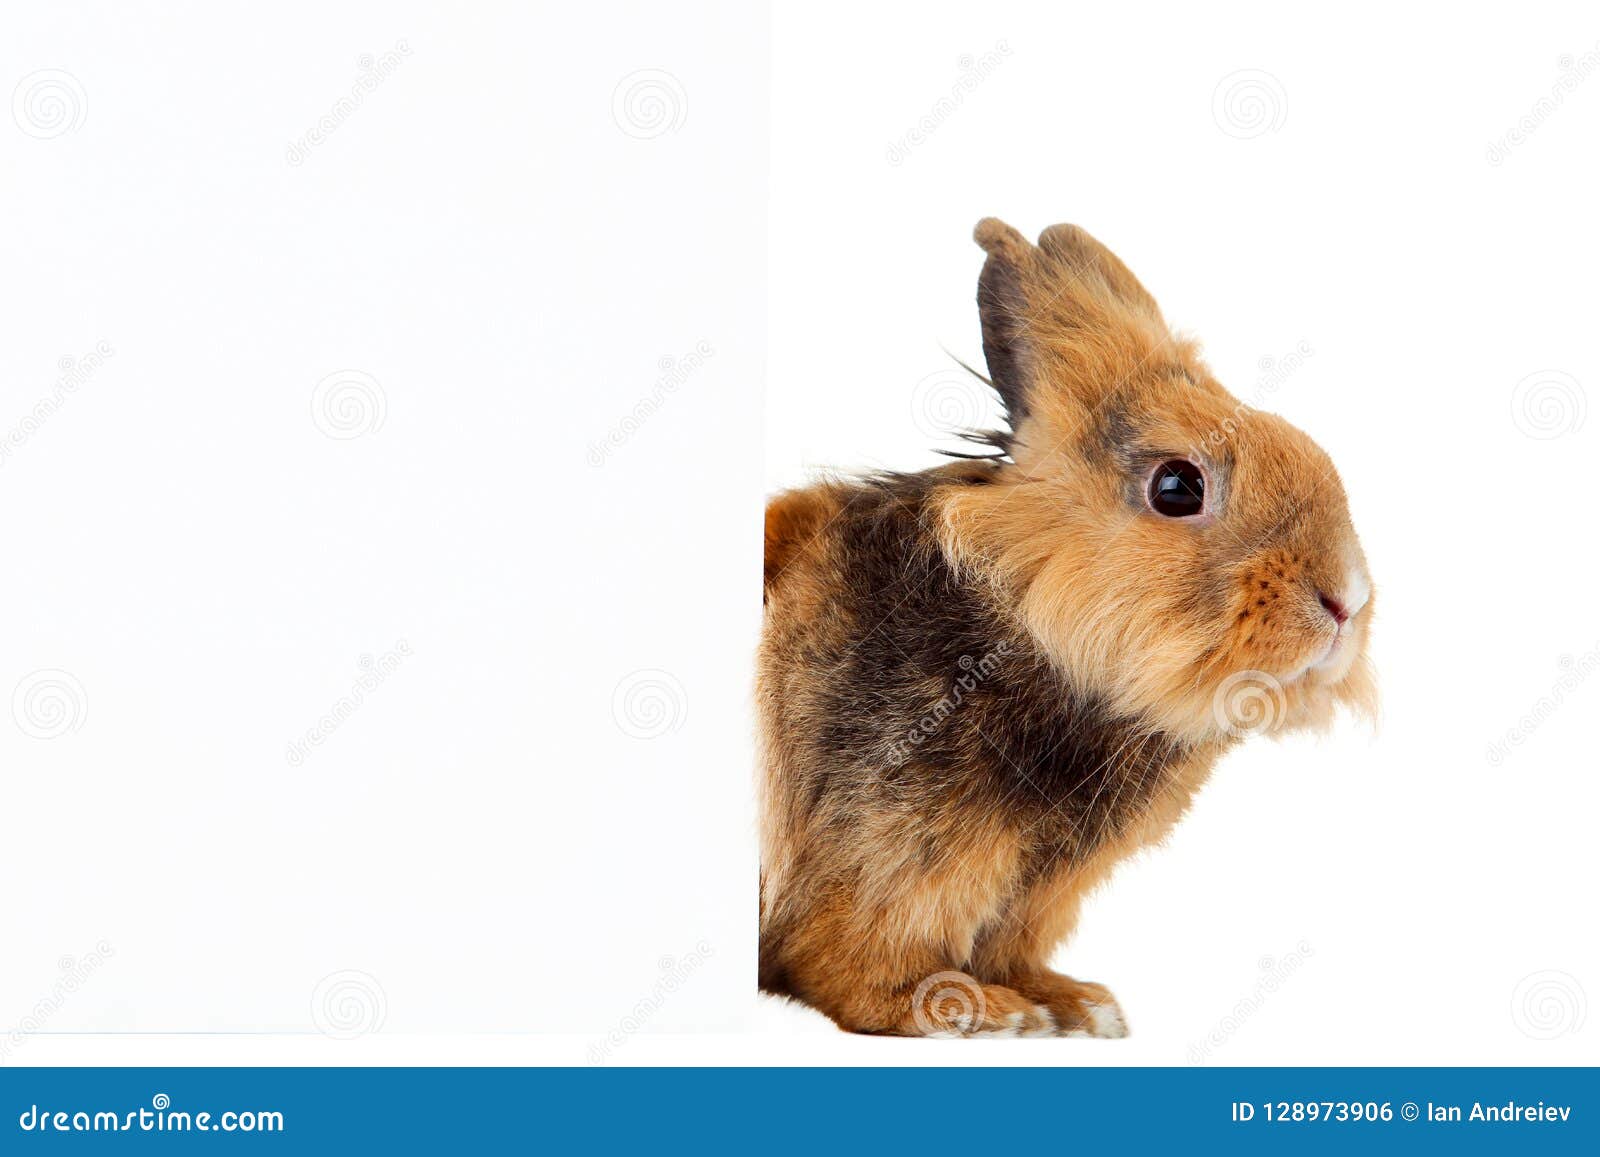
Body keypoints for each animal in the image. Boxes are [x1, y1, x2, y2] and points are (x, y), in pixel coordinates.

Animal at [756, 218, 1376, 1038]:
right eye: (1176, 486)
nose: (1346, 599)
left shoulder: (1030, 896)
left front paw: (1076, 1005)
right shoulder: (888, 866)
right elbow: (852, 963)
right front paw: (968, 1010)